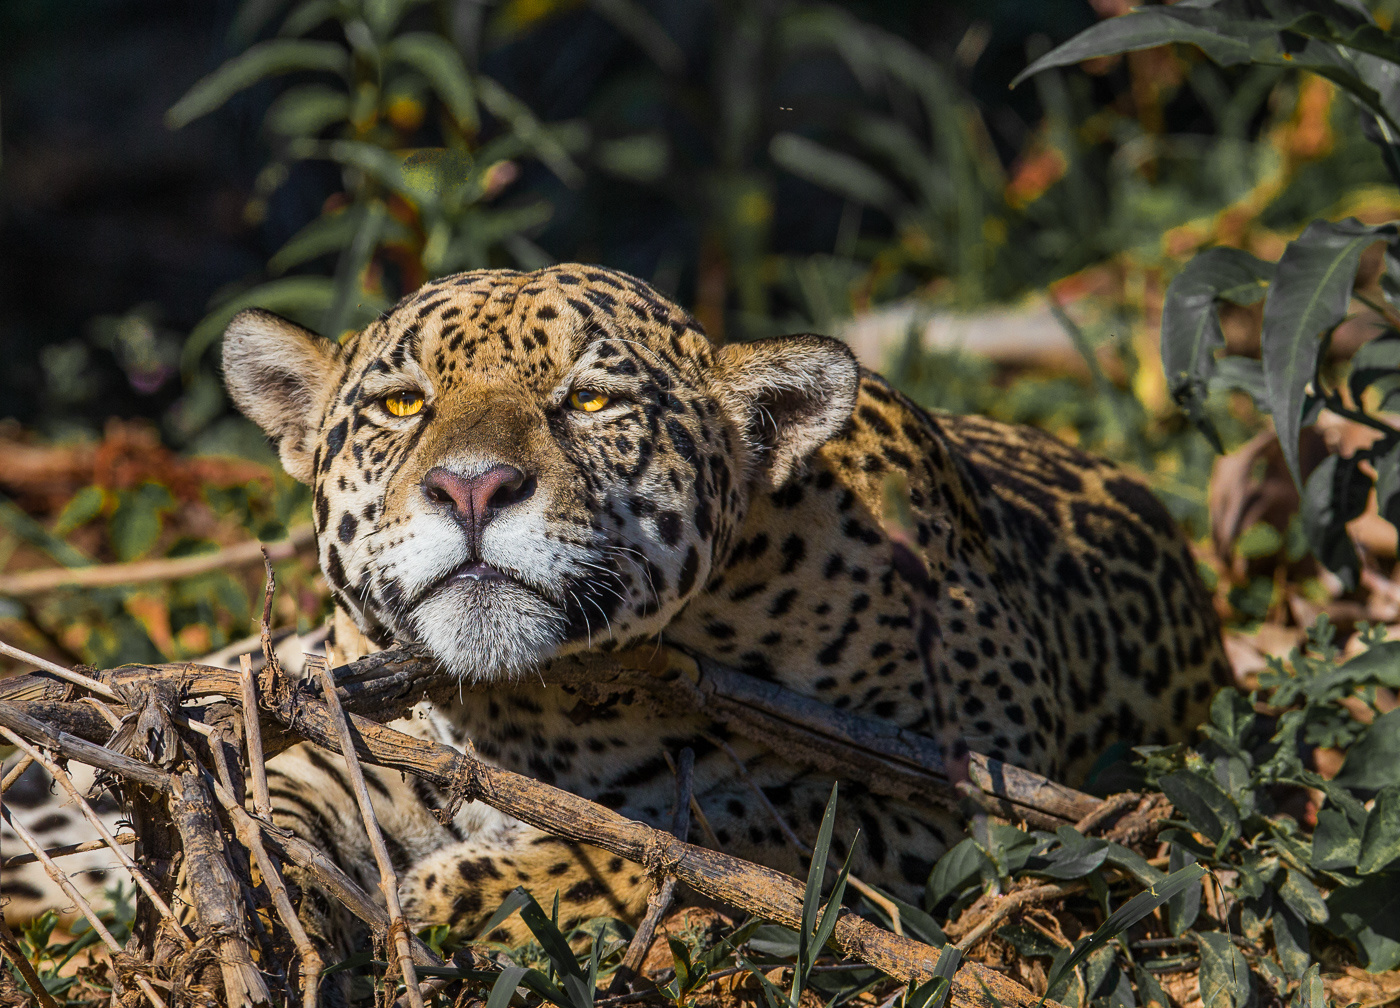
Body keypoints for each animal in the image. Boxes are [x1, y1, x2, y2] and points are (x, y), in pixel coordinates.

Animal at [4, 263, 1229, 971]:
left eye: (589, 400)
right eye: (402, 404)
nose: (472, 488)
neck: (541, 711)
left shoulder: (973, 800)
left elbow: (732, 829)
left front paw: (463, 893)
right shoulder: (348, 735)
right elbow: (275, 799)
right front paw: (274, 898)